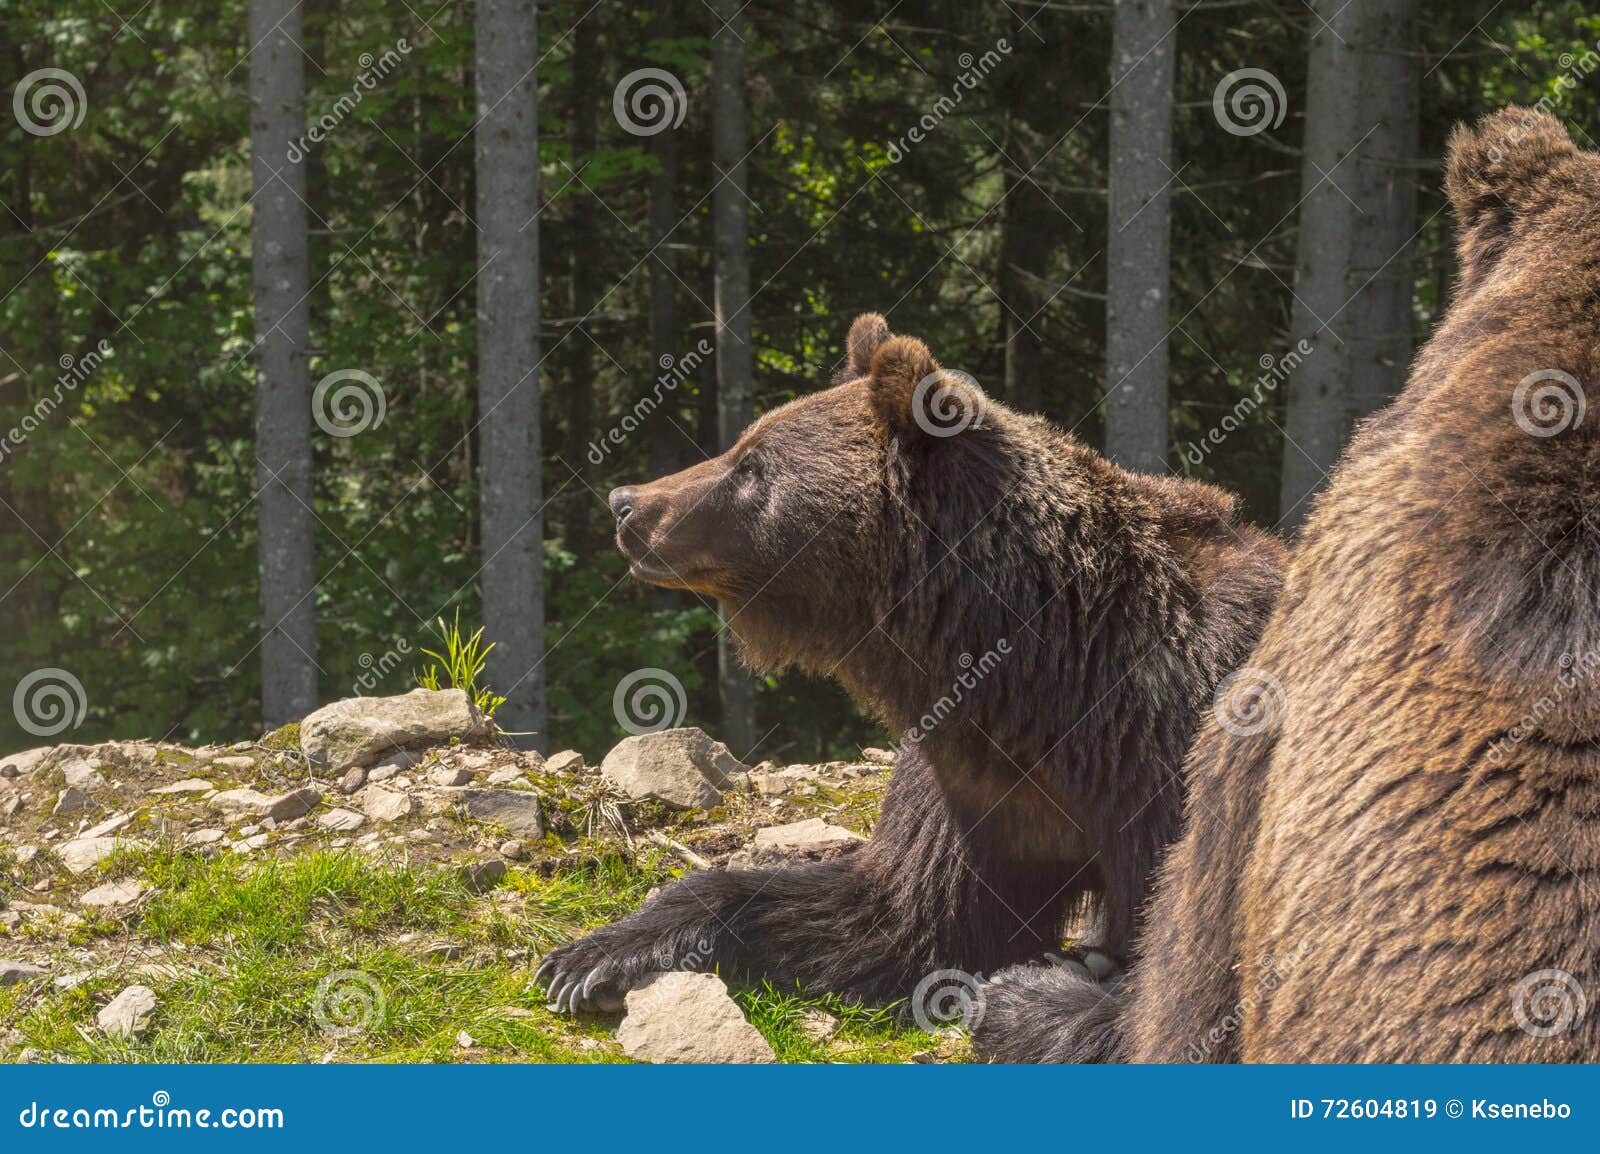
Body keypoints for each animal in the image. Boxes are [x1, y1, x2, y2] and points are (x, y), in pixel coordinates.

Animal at [535, 314, 1285, 1015]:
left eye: (753, 466)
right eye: (744, 448)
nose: (627, 504)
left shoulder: (1171, 764)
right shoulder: (973, 779)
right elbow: (902, 916)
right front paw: (590, 955)